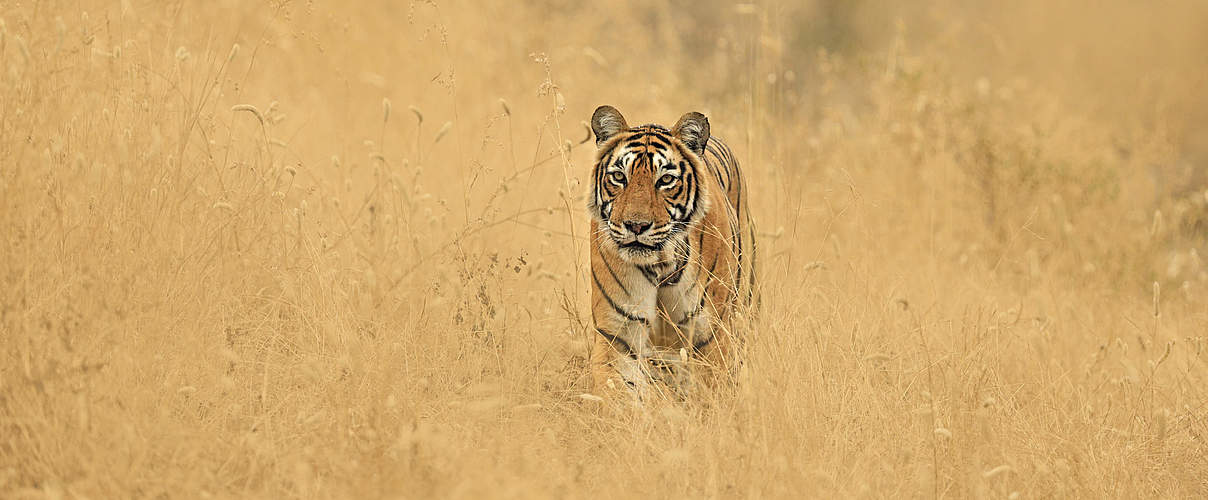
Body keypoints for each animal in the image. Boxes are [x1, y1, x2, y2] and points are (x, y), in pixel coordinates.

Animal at [586, 105, 756, 398]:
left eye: (665, 180)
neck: (660, 266)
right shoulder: (619, 336)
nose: (636, 225)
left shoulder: (711, 338)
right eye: (619, 177)